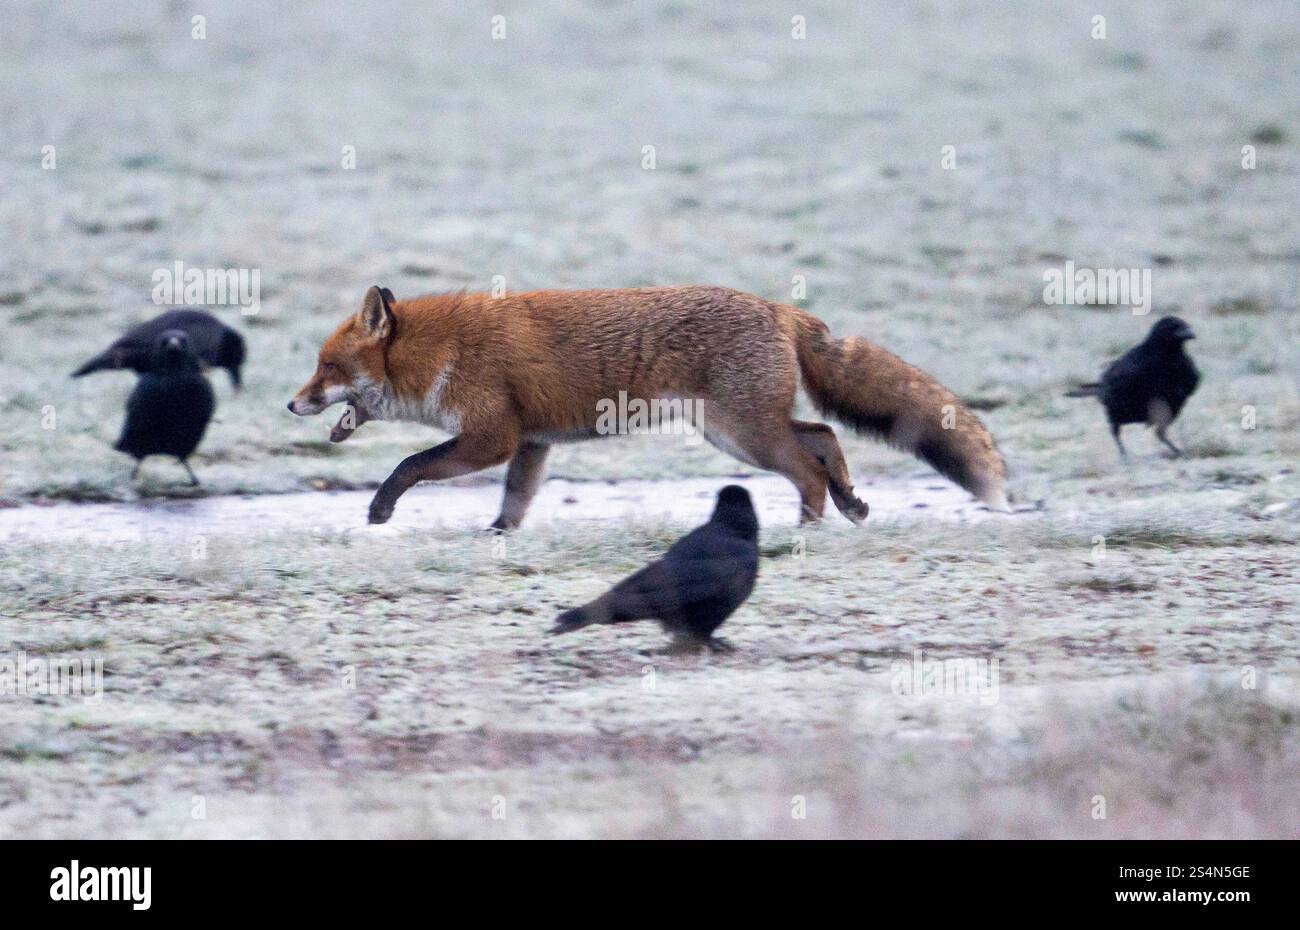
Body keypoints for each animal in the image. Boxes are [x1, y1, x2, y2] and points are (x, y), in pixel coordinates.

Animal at [288, 285, 1009, 528]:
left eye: (327, 367)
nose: (292, 402)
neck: (442, 351)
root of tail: (779, 307)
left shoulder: (489, 438)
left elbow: (409, 465)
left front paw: (380, 510)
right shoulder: (532, 443)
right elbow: (514, 503)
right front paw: (497, 541)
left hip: (745, 434)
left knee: (808, 465)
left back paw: (807, 529)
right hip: (739, 432)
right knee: (826, 435)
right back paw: (850, 504)